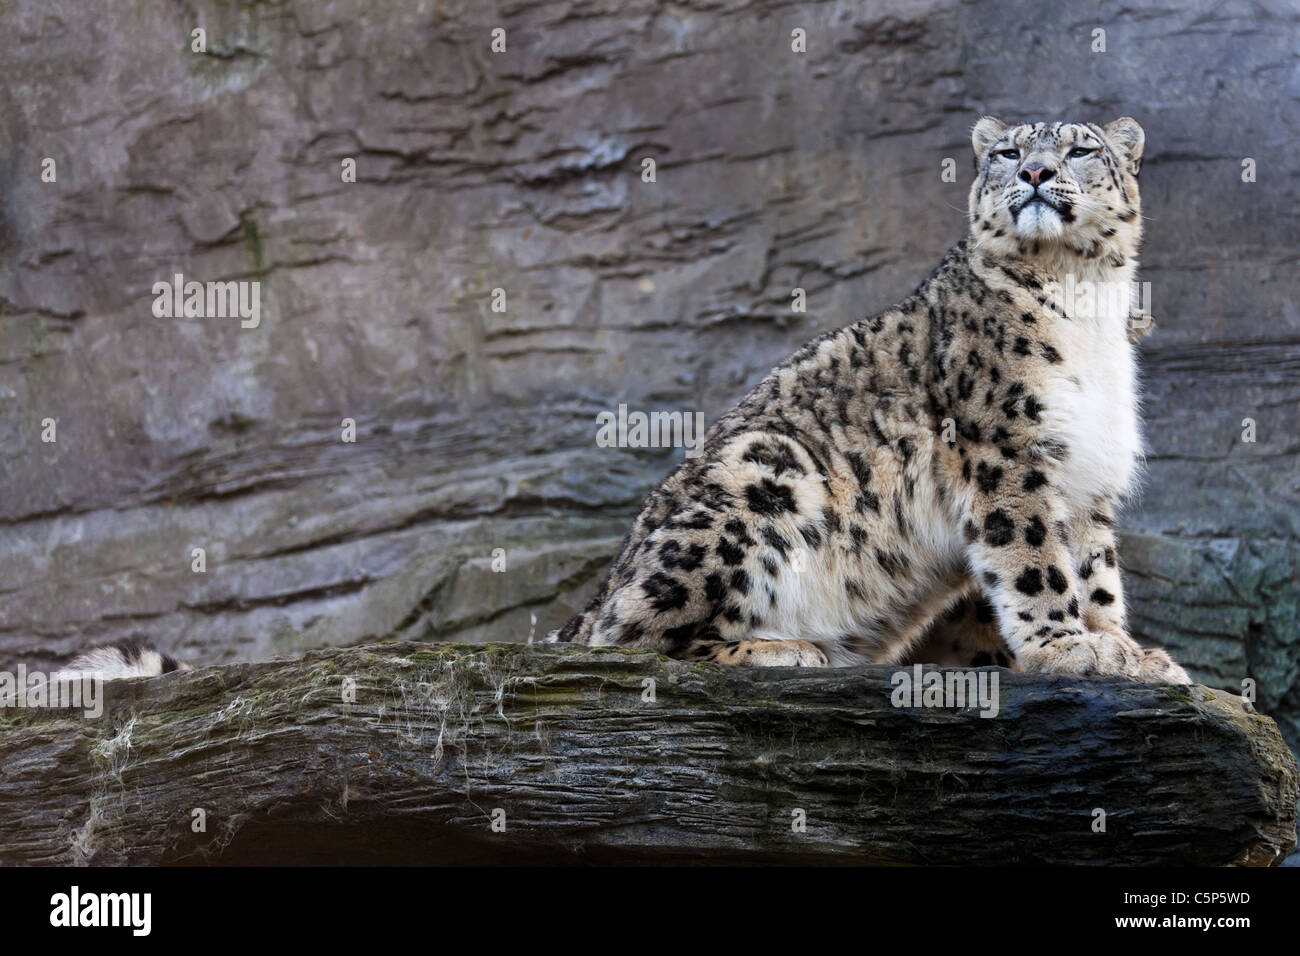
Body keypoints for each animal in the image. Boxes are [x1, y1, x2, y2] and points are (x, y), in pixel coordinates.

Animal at [548, 117, 1190, 686]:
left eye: (1081, 150)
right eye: (1008, 153)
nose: (1034, 172)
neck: (1085, 300)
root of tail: (597, 592)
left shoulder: (1088, 471)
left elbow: (1095, 569)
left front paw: (1124, 650)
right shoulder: (1005, 445)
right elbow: (1032, 554)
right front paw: (1066, 647)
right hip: (764, 470)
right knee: (628, 638)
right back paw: (782, 649)